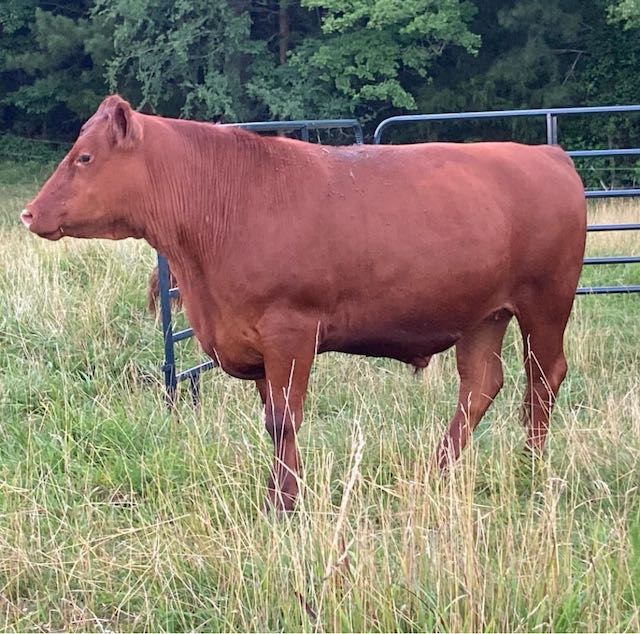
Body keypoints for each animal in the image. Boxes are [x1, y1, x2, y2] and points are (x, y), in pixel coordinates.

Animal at [21, 95, 587, 512]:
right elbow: (272, 422)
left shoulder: (289, 332)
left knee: (543, 378)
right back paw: (434, 472)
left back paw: (531, 468)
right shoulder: (253, 342)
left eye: (85, 157)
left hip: (545, 302)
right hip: (483, 314)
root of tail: (546, 154)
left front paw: (287, 504)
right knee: (480, 386)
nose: (28, 213)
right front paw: (276, 496)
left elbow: (283, 420)